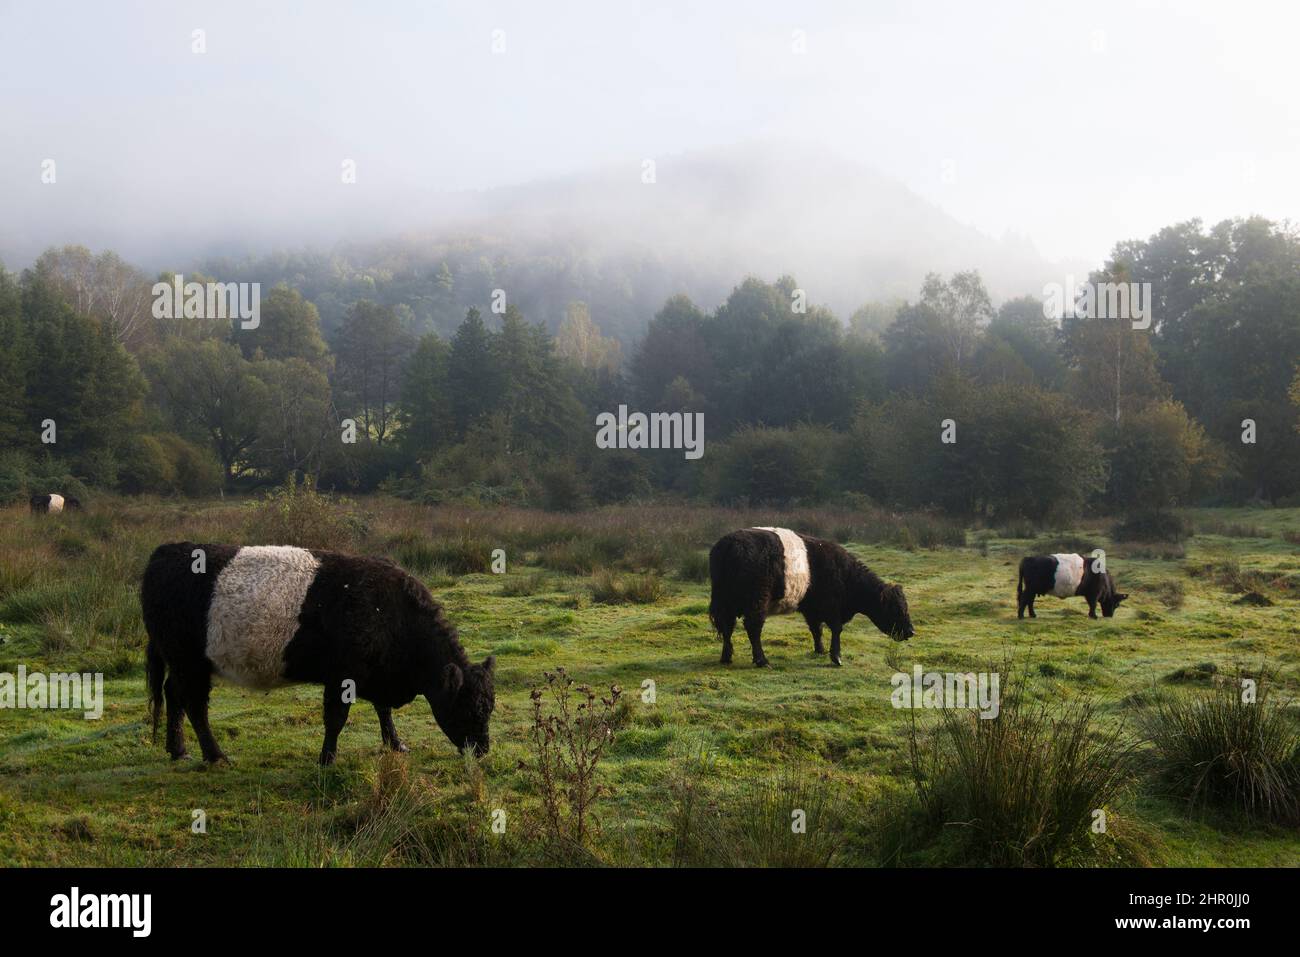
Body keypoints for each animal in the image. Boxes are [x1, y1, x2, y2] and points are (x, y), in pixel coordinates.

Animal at [141, 542, 495, 766]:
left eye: (489, 707)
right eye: (471, 709)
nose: (482, 750)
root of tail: (166, 550)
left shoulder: (375, 672)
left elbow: (383, 711)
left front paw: (396, 744)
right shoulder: (342, 675)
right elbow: (336, 718)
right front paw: (327, 759)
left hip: (182, 662)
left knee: (173, 694)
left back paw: (178, 750)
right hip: (189, 661)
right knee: (194, 705)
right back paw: (215, 756)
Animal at [708, 527, 914, 668]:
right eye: (897, 608)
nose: (912, 631)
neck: (845, 573)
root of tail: (729, 543)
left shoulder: (812, 608)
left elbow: (817, 629)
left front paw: (820, 650)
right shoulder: (832, 607)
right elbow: (836, 629)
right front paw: (836, 657)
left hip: (726, 602)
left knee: (727, 627)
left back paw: (726, 657)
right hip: (757, 600)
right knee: (753, 627)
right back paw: (761, 660)